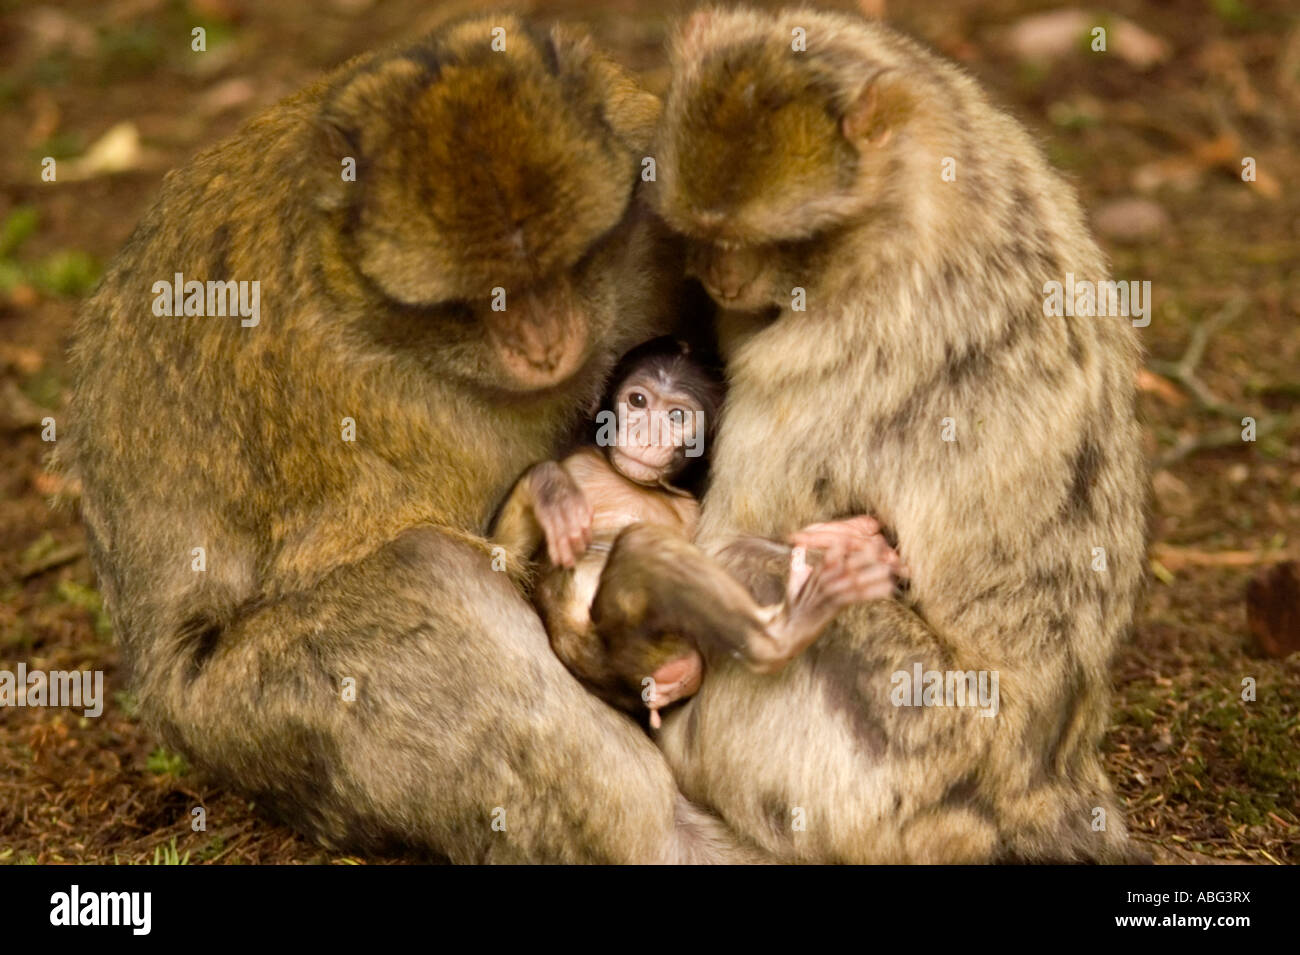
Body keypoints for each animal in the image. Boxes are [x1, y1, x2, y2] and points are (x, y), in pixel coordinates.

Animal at [56, 16, 779, 863]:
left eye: (564, 265)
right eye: (487, 296)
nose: (546, 341)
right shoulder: (335, 381)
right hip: (246, 731)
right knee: (426, 571)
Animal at [492, 337, 900, 726]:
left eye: (677, 416)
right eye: (637, 400)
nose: (646, 436)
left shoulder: (694, 510)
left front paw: (840, 536)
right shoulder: (578, 464)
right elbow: (506, 557)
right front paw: (553, 492)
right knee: (643, 548)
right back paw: (783, 634)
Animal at [609, 6, 1150, 863]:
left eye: (777, 239)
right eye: (705, 233)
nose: (722, 277)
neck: (907, 212)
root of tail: (1040, 790)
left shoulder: (839, 366)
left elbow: (719, 539)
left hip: (904, 759)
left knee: (751, 566)